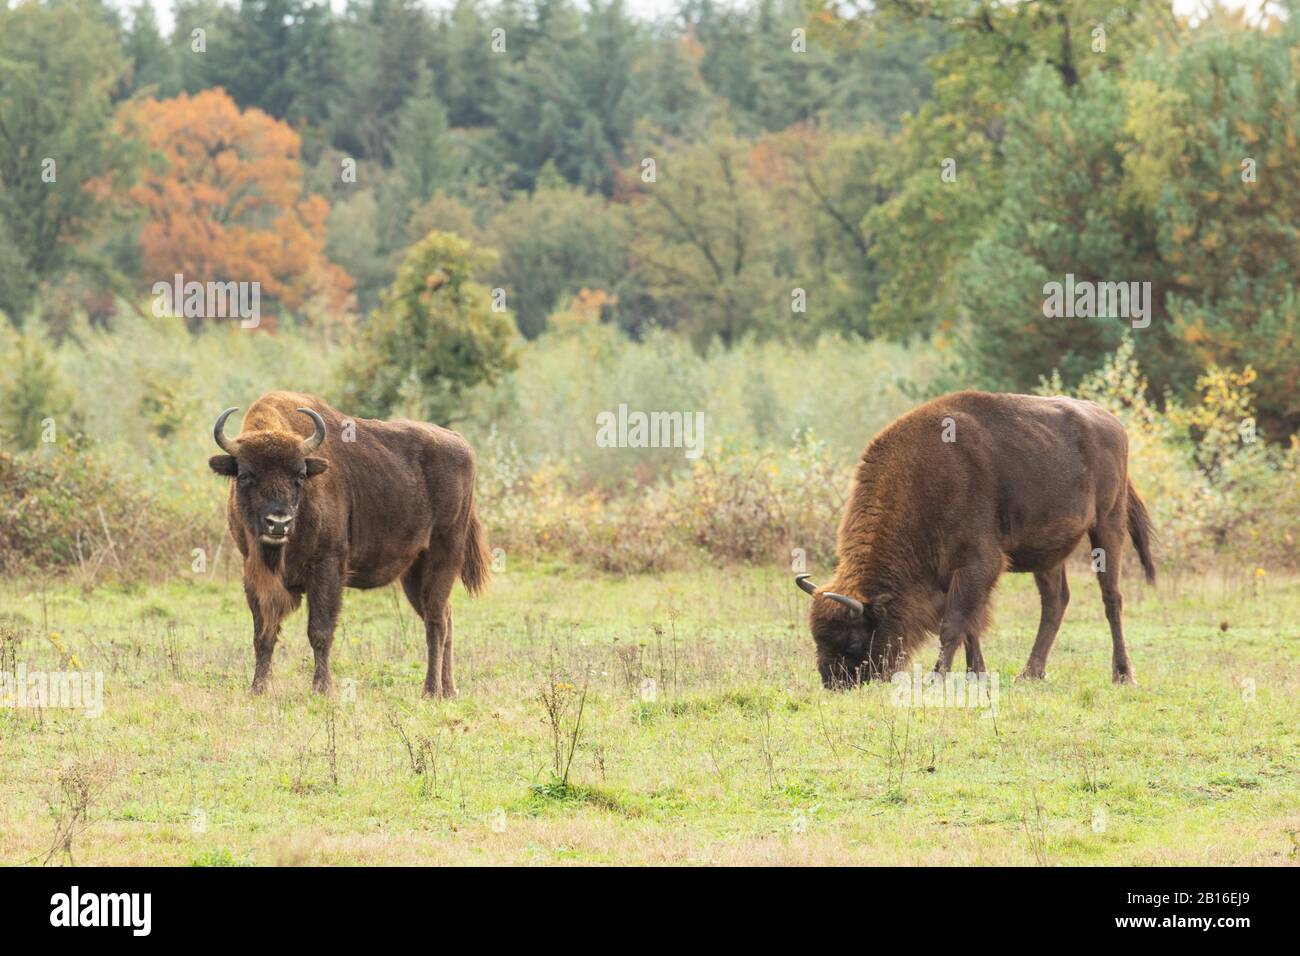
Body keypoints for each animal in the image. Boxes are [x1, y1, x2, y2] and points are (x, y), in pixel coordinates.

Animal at [208, 391, 489, 696]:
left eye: (299, 476)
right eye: (245, 476)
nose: (278, 523)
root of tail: (461, 443)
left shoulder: (327, 567)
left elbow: (319, 631)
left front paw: (322, 689)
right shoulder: (253, 572)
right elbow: (264, 634)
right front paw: (257, 689)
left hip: (443, 555)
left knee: (436, 621)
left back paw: (430, 690)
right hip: (413, 571)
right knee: (444, 616)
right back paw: (448, 690)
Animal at [795, 392, 1155, 688]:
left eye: (854, 641)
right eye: (818, 638)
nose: (834, 682)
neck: (922, 479)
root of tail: (1112, 423)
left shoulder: (976, 565)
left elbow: (954, 624)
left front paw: (937, 677)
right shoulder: (956, 575)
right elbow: (971, 624)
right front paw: (976, 674)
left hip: (1108, 526)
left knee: (1111, 598)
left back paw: (1123, 675)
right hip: (1048, 552)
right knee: (1055, 601)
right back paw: (1030, 673)